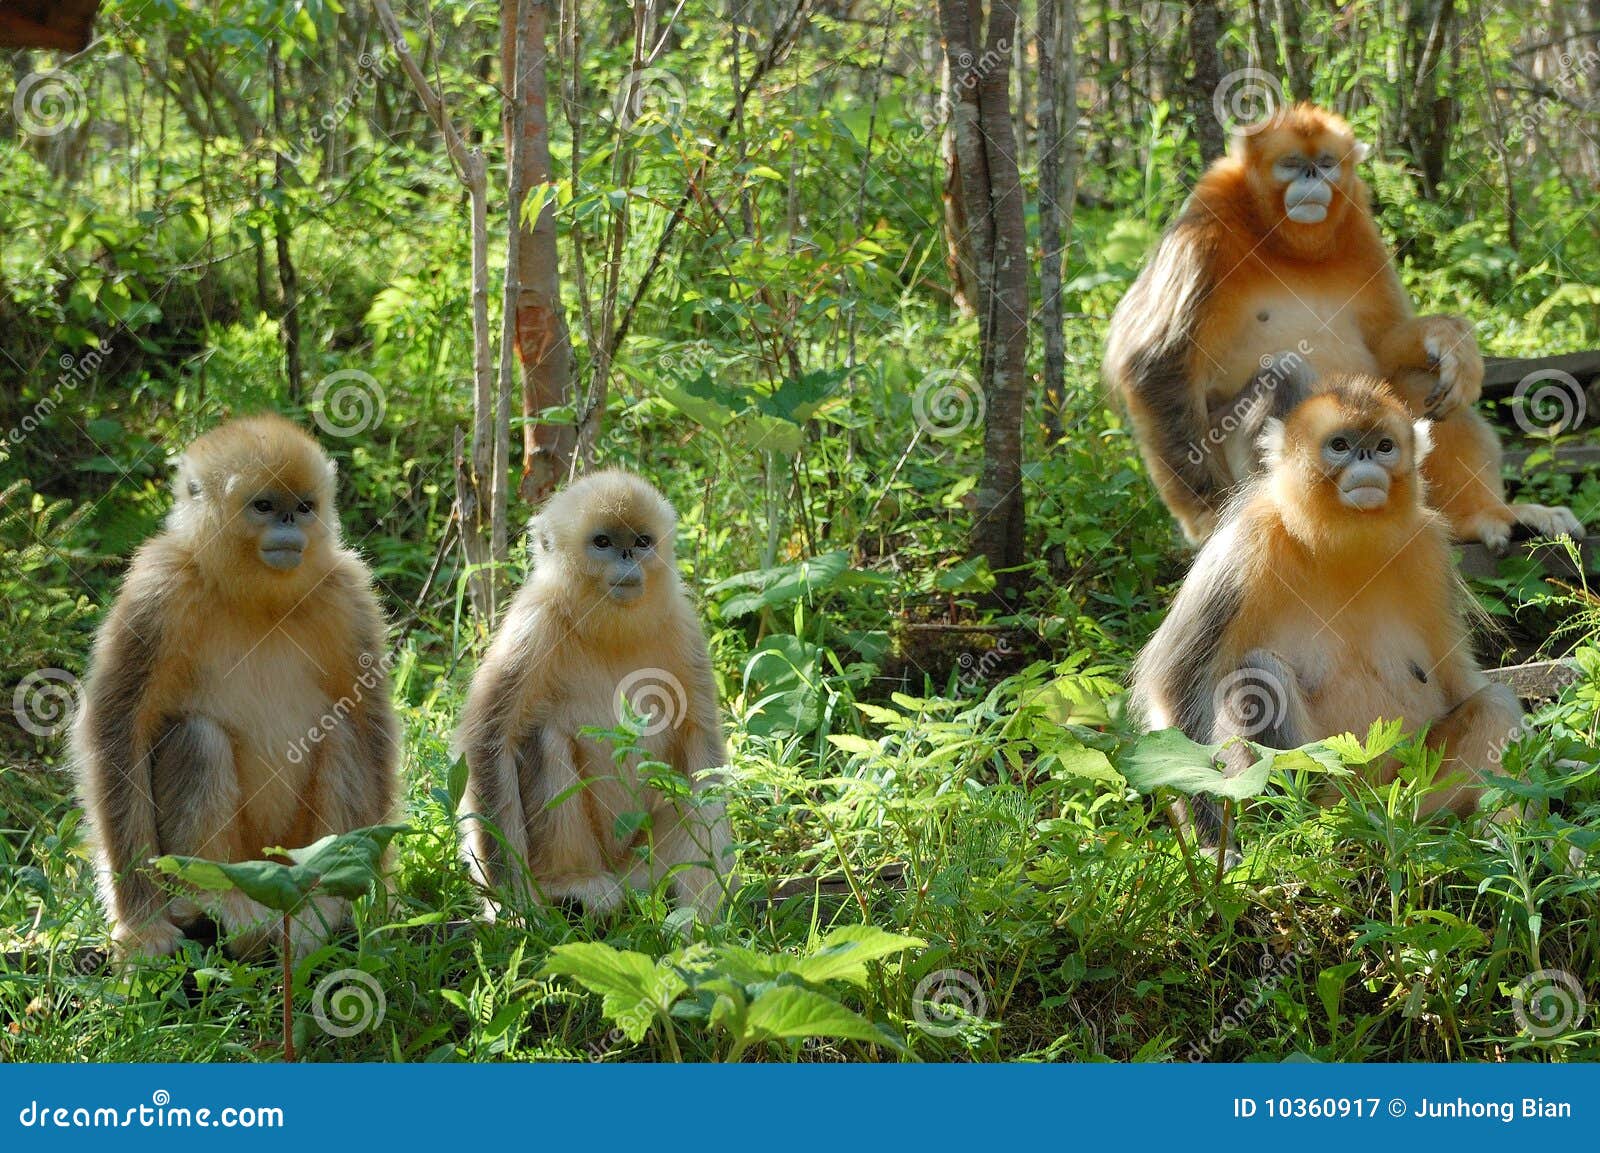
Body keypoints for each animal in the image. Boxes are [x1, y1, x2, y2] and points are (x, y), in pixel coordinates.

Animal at [71, 414, 400, 958]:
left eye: (303, 507)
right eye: (264, 506)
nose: (289, 525)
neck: (255, 598)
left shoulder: (345, 592)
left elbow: (369, 719)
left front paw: (371, 897)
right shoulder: (159, 589)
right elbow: (117, 729)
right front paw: (141, 926)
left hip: (290, 855)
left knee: (344, 733)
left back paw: (323, 901)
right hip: (248, 862)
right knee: (199, 737)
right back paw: (208, 898)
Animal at [455, 469, 735, 922]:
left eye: (642, 540)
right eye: (603, 542)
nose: (627, 557)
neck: (610, 631)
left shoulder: (683, 625)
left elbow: (701, 746)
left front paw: (704, 914)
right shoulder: (534, 623)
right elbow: (489, 740)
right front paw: (514, 907)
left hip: (646, 858)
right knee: (547, 737)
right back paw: (573, 881)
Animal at [1105, 102, 1581, 553]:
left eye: (1326, 163)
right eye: (1293, 163)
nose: (1313, 176)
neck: (1282, 241)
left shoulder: (1359, 225)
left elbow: (1384, 344)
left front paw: (1449, 338)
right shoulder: (1205, 224)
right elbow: (1156, 362)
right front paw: (1204, 517)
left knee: (1419, 380)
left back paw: (1480, 516)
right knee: (1284, 374)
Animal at [1130, 375, 1524, 855]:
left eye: (1384, 445)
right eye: (1340, 445)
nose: (1367, 460)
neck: (1342, 546)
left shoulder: (1429, 548)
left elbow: (1460, 684)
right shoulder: (1244, 546)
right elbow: (1176, 686)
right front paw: (1211, 848)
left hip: (1411, 795)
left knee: (1494, 704)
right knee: (1258, 675)